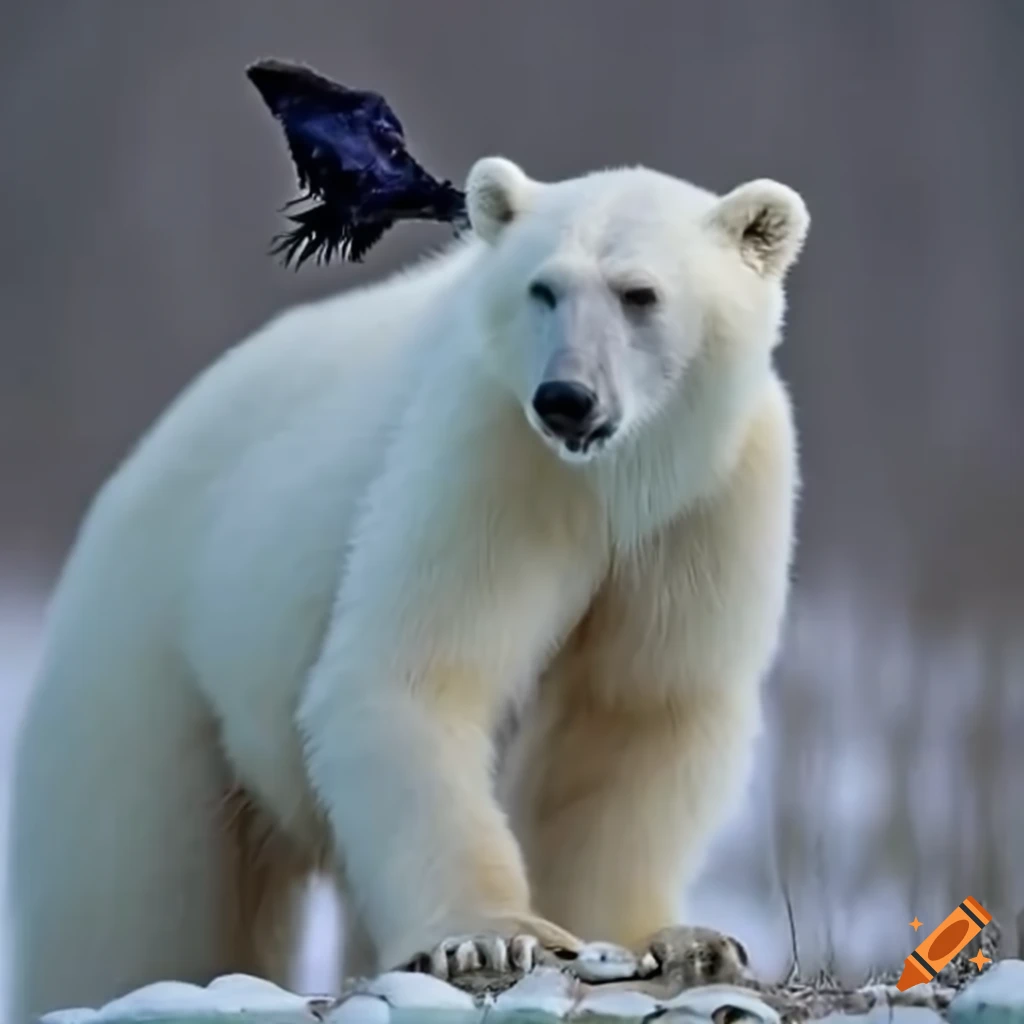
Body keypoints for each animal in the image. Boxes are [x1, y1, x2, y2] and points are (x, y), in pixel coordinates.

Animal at [6, 154, 808, 1021]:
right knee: (133, 890)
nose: (566, 399)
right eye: (543, 288)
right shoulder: (493, 453)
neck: (620, 478)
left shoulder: (709, 501)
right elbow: (418, 670)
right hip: (152, 653)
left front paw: (668, 937)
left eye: (640, 293)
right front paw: (491, 935)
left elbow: (637, 711)